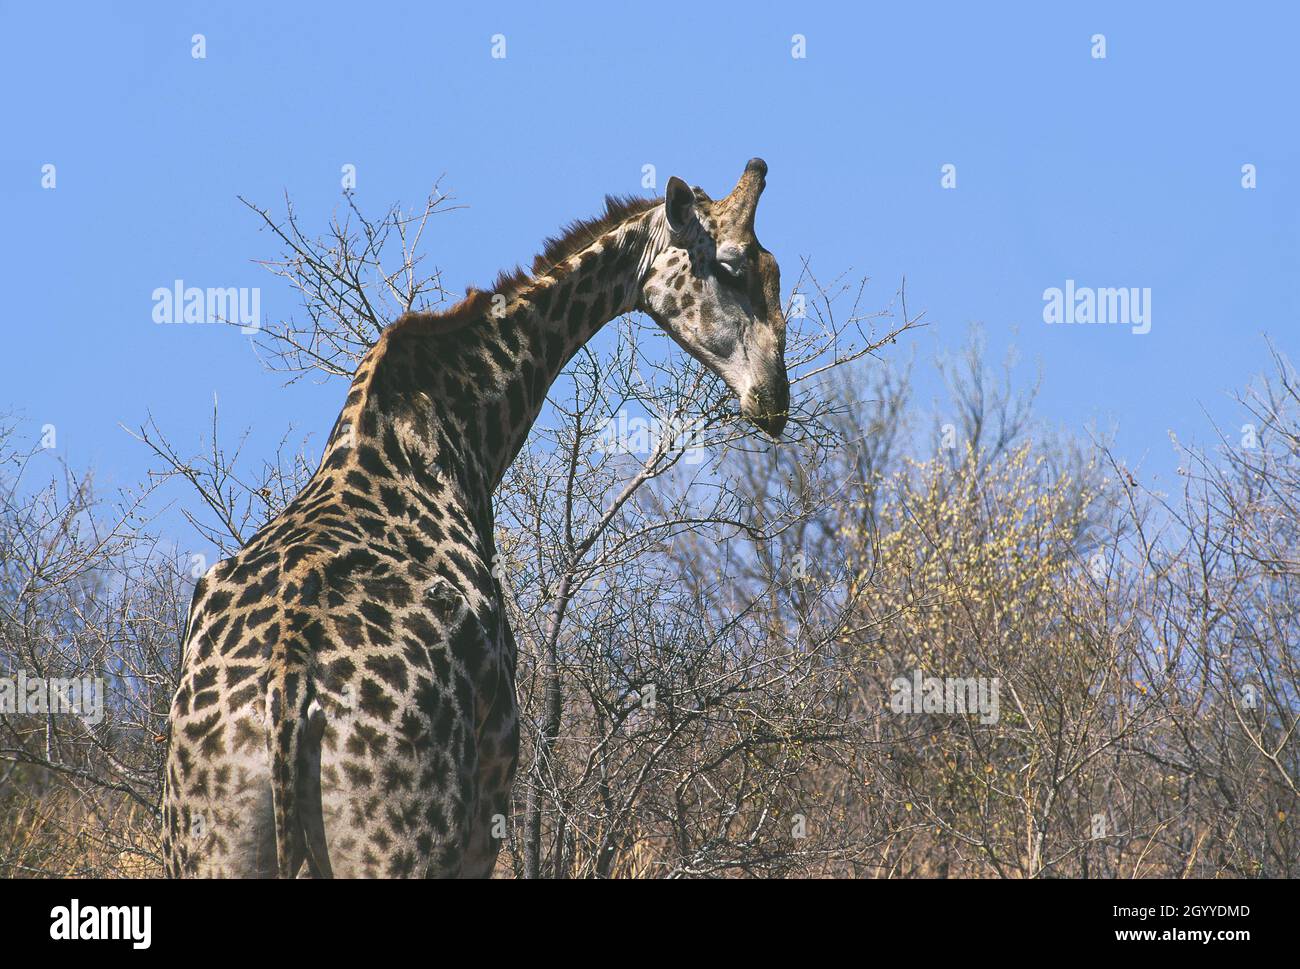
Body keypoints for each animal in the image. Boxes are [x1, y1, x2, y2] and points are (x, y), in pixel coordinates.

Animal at [161, 158, 788, 878]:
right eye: (732, 266)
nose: (775, 398)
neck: (467, 422)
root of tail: (287, 689)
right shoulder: (493, 787)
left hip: (208, 837)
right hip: (401, 842)